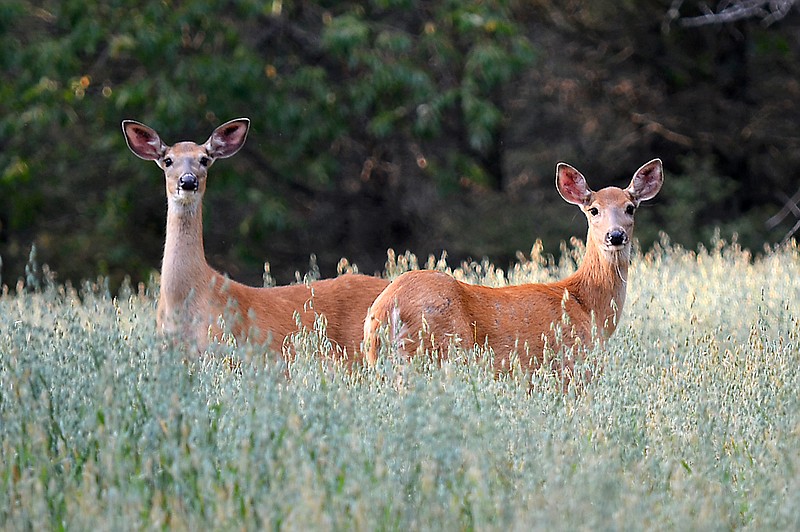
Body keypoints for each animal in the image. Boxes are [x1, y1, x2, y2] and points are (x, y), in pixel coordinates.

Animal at [363, 159, 663, 382]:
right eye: (593, 210)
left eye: (630, 208)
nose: (616, 235)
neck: (588, 306)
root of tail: (386, 308)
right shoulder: (572, 365)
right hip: (440, 352)